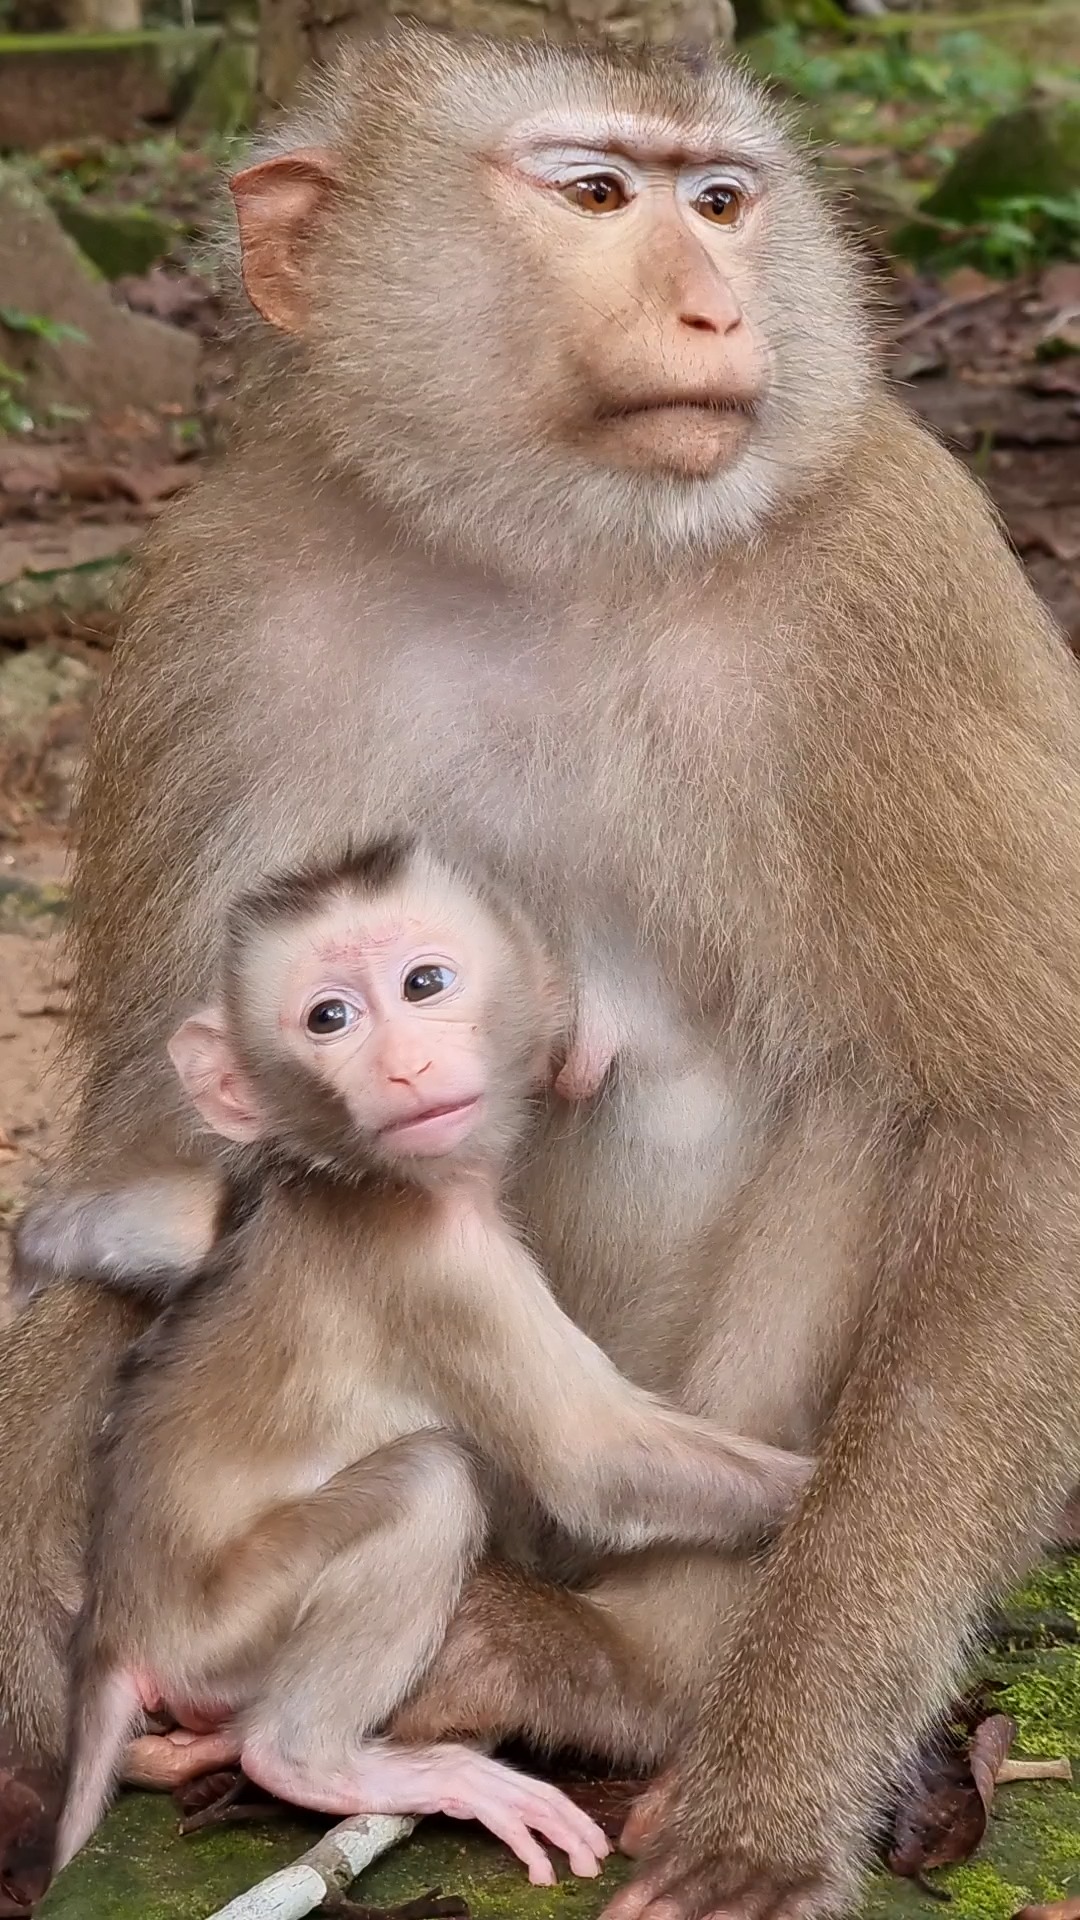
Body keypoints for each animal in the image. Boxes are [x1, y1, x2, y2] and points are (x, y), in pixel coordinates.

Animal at [52, 835, 811, 1880]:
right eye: (328, 1018)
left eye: (425, 983)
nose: (406, 1066)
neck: (352, 1175)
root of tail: (116, 1628)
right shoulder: (438, 1260)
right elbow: (594, 1462)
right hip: (221, 1629)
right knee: (429, 1483)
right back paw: (317, 1764)